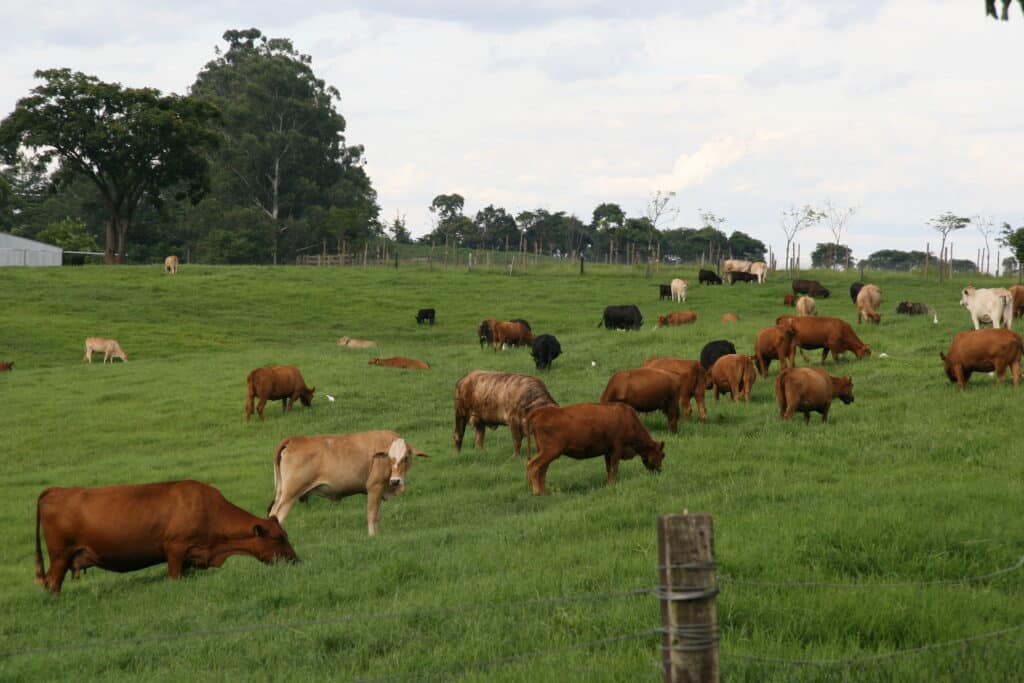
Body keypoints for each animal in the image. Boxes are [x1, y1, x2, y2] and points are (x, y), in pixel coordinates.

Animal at [35, 480, 297, 594]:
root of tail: (56, 490)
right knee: (53, 583)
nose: (296, 560)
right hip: (60, 556)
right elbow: (173, 577)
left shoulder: (190, 558)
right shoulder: (175, 550)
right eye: (278, 538)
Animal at [267, 431, 428, 535]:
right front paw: (372, 537)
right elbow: (372, 514)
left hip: (282, 492)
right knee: (277, 515)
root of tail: (294, 439)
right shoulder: (374, 487)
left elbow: (377, 515)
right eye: (390, 457)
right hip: (290, 494)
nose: (395, 481)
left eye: (406, 457)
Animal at [525, 403, 665, 496]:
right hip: (550, 451)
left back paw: (545, 493)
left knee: (542, 470)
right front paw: (610, 485)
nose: (660, 471)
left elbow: (609, 469)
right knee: (533, 465)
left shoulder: (608, 452)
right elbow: (614, 469)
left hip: (547, 453)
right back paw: (537, 492)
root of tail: (541, 411)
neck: (628, 419)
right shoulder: (617, 449)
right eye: (663, 455)